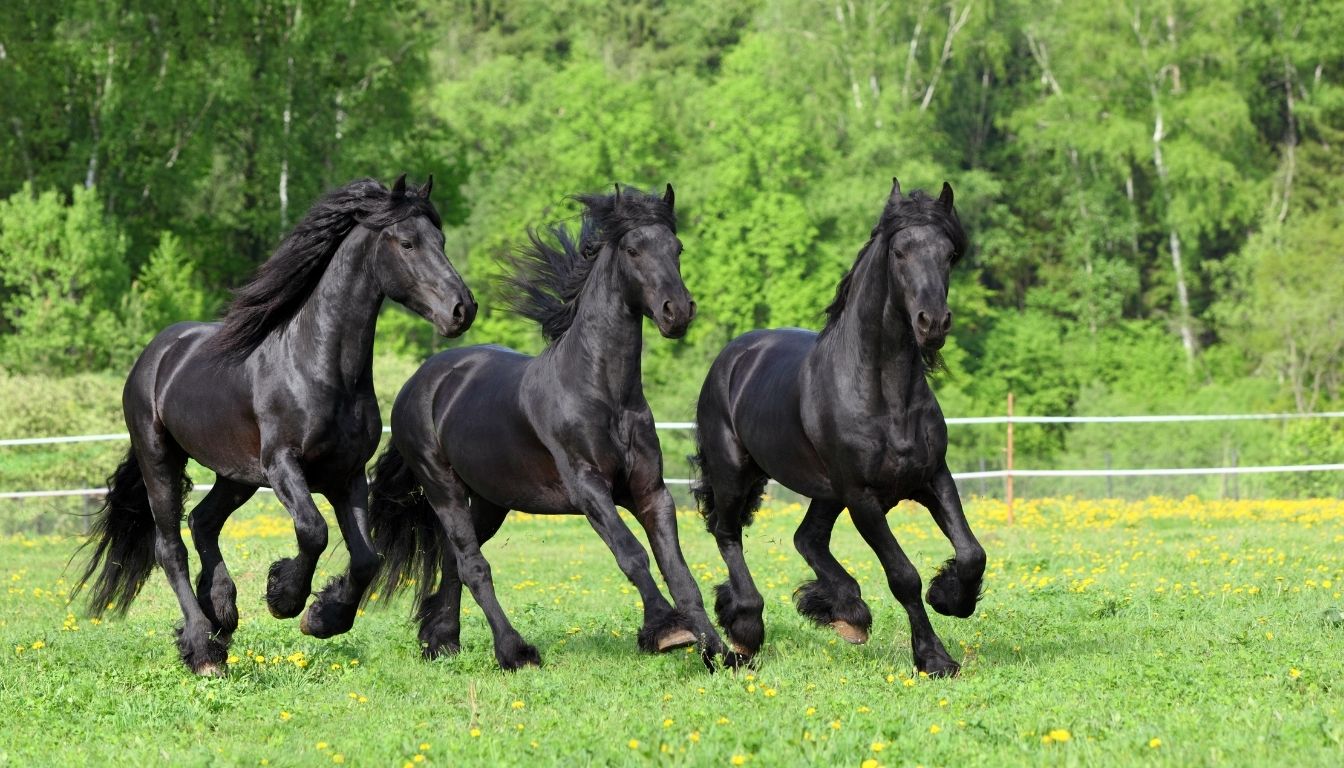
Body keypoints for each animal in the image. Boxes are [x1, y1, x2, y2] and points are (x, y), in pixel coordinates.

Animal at [72, 175, 476, 676]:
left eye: (441, 240)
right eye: (407, 242)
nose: (462, 309)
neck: (318, 367)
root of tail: (156, 353)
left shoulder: (346, 474)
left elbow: (366, 557)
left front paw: (323, 617)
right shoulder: (284, 465)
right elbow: (313, 531)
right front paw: (284, 596)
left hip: (236, 475)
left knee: (203, 521)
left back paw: (221, 612)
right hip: (160, 457)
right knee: (170, 547)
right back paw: (203, 648)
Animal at [366, 184, 730, 670]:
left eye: (677, 248)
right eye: (633, 250)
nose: (678, 312)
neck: (601, 393)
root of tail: (419, 382)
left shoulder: (650, 491)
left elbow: (679, 571)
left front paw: (721, 652)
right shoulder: (589, 490)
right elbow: (632, 555)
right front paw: (667, 630)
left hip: (489, 500)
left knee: (455, 558)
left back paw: (440, 640)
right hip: (442, 487)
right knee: (472, 564)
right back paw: (514, 651)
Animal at [691, 179, 985, 676]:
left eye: (949, 254)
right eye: (900, 252)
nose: (932, 322)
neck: (884, 396)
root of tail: (732, 356)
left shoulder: (932, 478)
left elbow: (971, 553)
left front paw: (949, 597)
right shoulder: (863, 498)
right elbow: (903, 576)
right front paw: (934, 657)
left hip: (825, 492)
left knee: (806, 538)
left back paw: (848, 614)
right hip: (735, 473)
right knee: (727, 533)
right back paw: (746, 629)